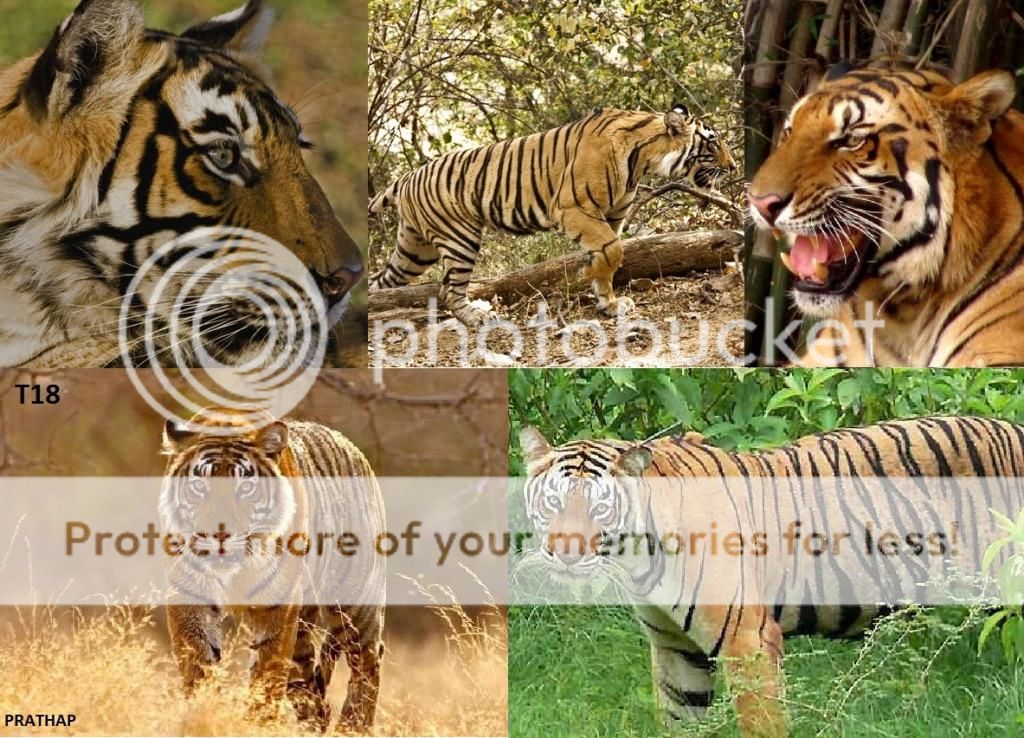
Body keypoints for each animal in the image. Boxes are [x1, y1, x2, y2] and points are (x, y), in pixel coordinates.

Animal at [160, 406, 385, 732]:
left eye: (245, 488)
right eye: (200, 486)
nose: (218, 534)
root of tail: (353, 448)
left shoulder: (277, 604)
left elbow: (267, 673)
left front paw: (256, 723)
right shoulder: (189, 593)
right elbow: (198, 661)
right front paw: (203, 711)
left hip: (355, 601)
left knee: (368, 660)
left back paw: (353, 727)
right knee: (308, 683)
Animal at [370, 105, 736, 325]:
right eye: (712, 144)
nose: (733, 167)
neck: (643, 158)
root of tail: (407, 177)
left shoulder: (611, 215)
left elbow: (609, 256)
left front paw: (607, 301)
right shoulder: (572, 207)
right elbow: (613, 250)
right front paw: (592, 276)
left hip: (415, 251)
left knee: (380, 283)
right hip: (459, 239)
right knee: (449, 291)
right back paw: (477, 316)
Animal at [519, 416, 1024, 737]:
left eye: (600, 509)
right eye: (553, 502)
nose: (565, 554)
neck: (640, 555)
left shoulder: (748, 639)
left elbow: (763, 722)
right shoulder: (675, 649)